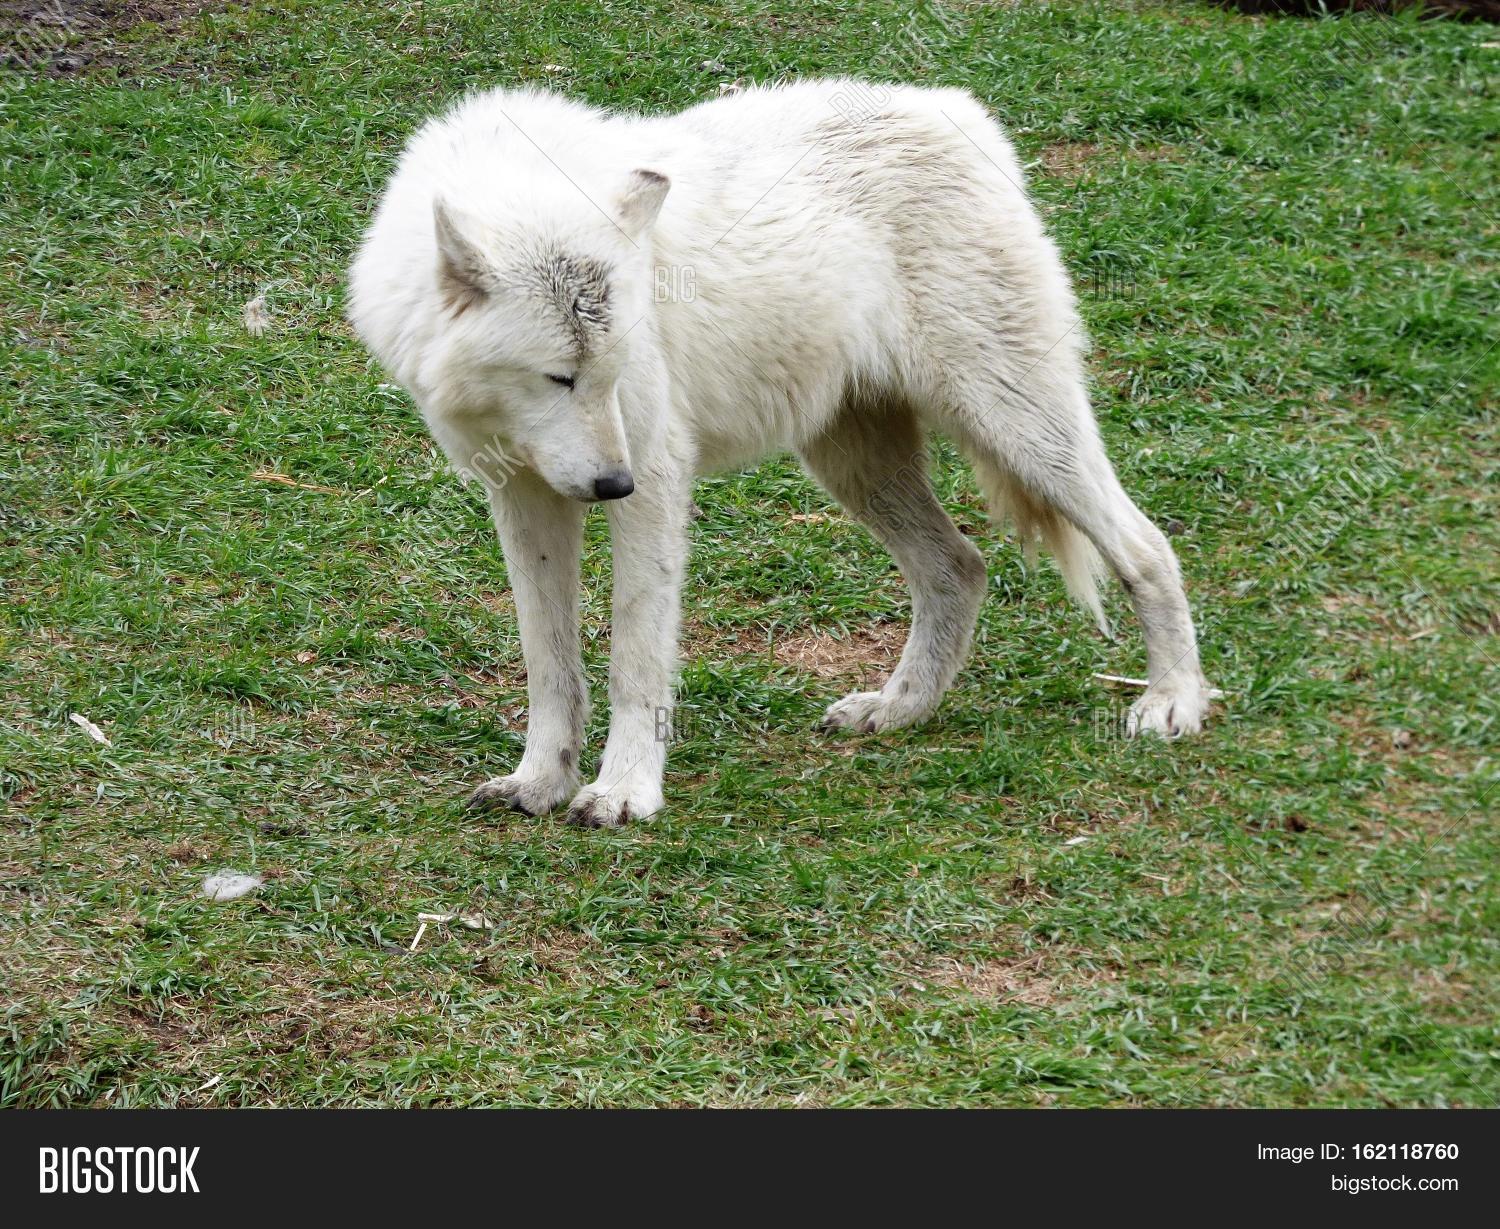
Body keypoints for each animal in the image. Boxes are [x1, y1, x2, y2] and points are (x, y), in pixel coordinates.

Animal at [348, 79, 1212, 828]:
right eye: (559, 378)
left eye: (612, 372)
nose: (612, 482)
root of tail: (959, 110)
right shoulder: (524, 494)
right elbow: (549, 660)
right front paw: (539, 781)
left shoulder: (656, 479)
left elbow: (634, 656)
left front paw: (625, 791)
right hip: (857, 466)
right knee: (961, 568)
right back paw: (898, 708)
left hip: (1018, 429)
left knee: (1147, 548)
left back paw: (1173, 701)